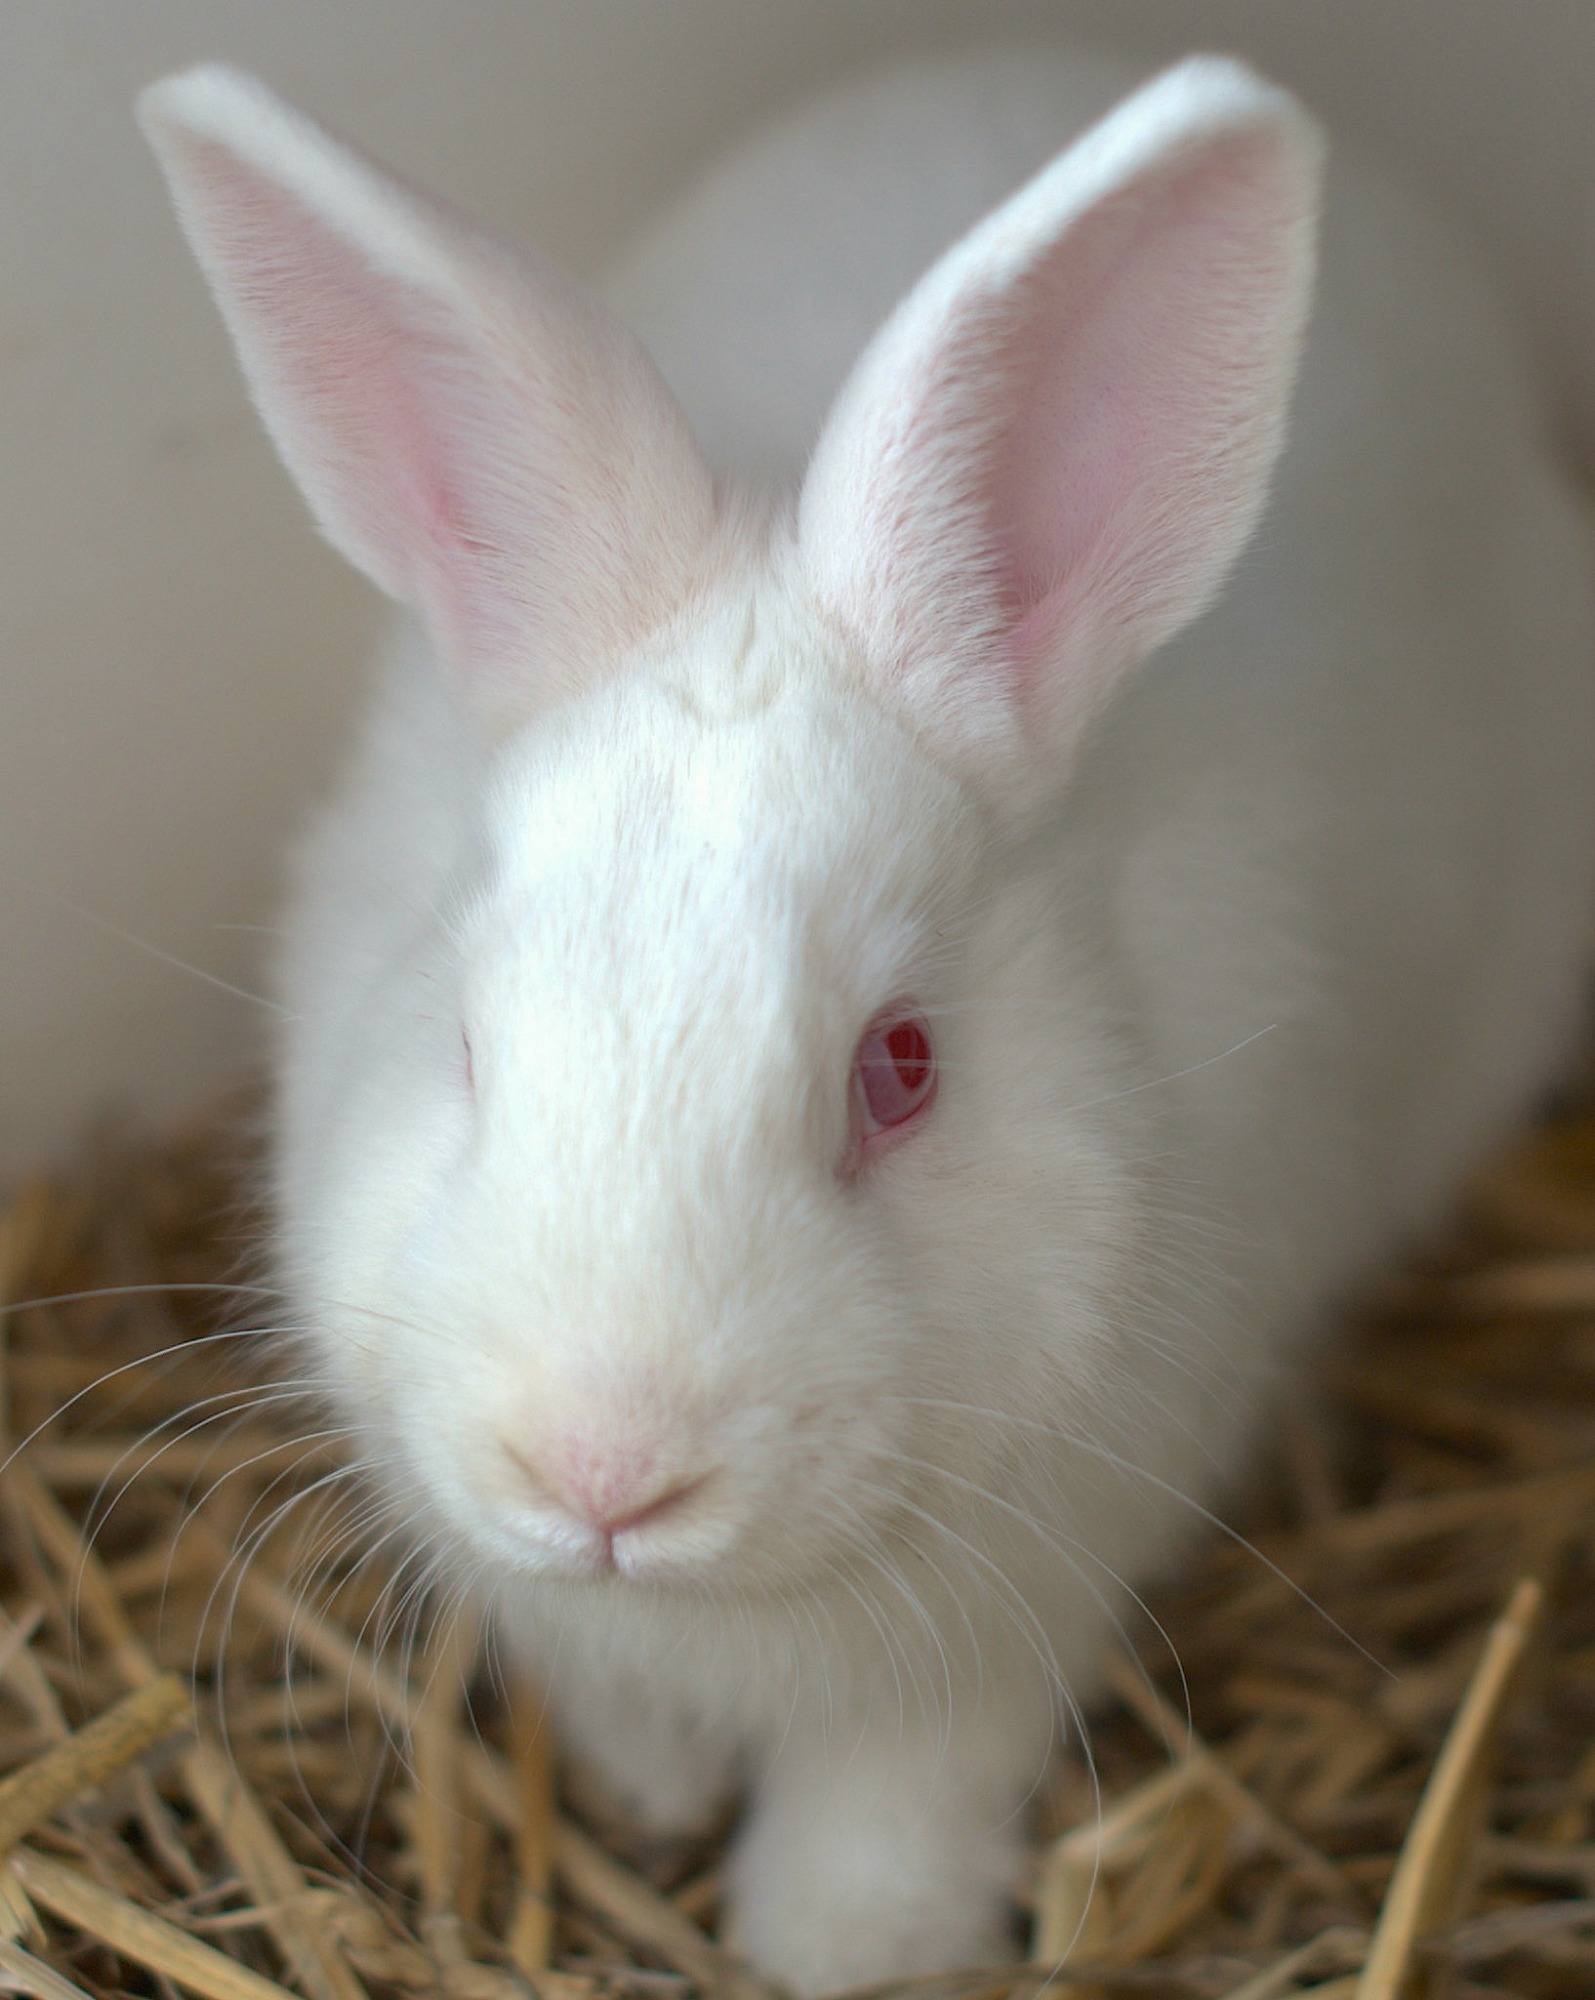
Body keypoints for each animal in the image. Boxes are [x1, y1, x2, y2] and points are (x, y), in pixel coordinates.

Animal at [139, 43, 1595, 1992]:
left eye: (900, 1070)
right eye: (458, 1037)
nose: (603, 1473)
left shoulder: (1007, 1612)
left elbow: (903, 1784)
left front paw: (842, 1946)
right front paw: (653, 1793)